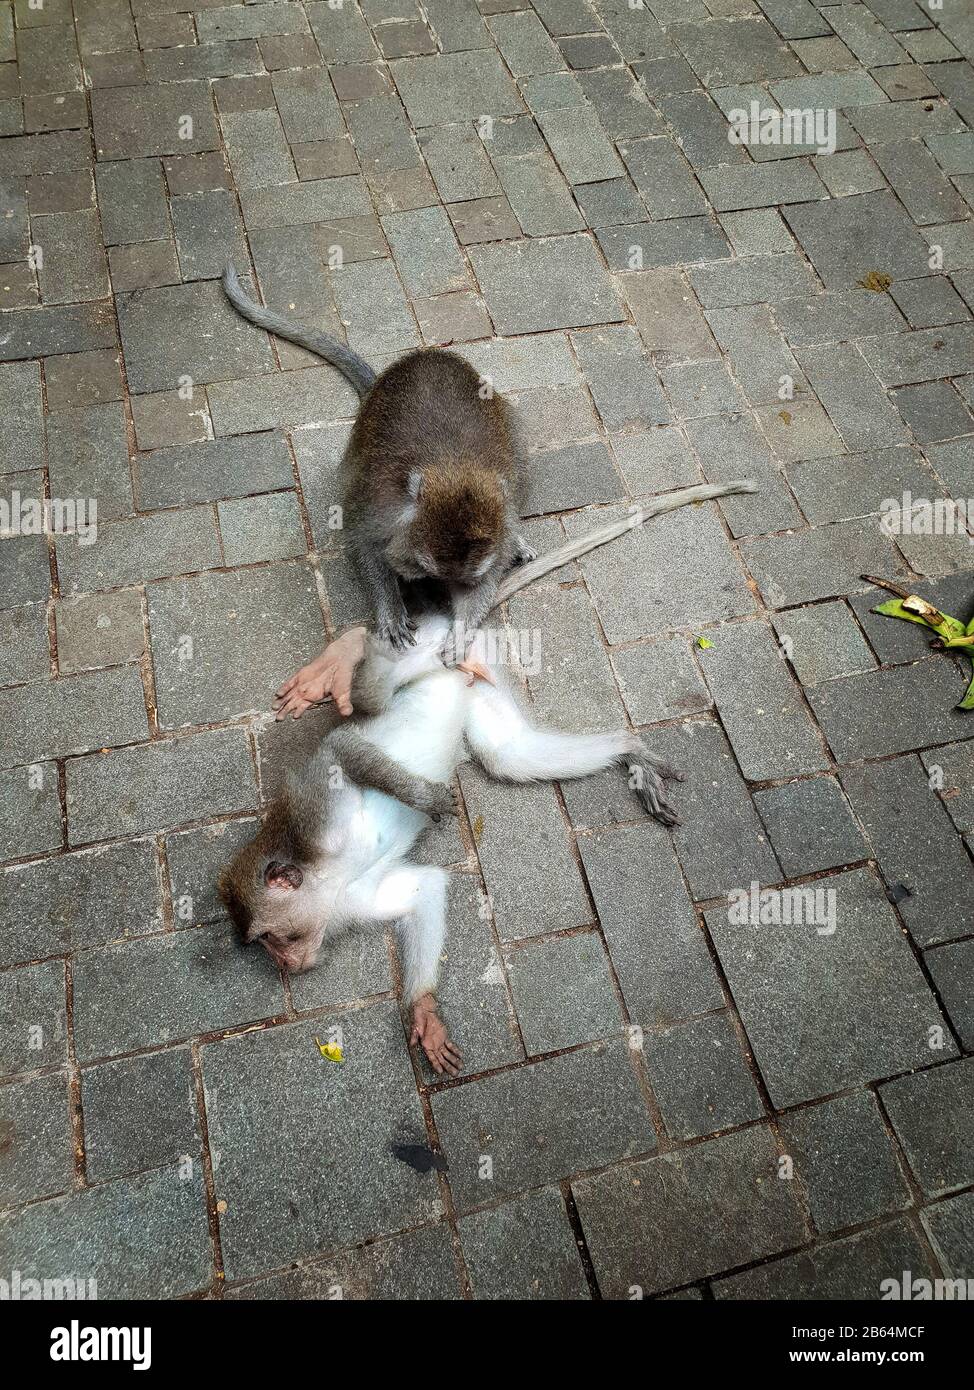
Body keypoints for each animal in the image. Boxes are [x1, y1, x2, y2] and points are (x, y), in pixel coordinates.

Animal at [219, 477, 758, 1074]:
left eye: (271, 937)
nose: (284, 963)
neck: (328, 880)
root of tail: (453, 632)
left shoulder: (316, 819)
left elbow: (340, 748)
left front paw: (427, 799)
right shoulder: (350, 901)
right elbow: (427, 889)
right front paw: (425, 1012)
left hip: (428, 644)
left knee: (376, 690)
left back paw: (351, 655)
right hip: (479, 670)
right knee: (509, 753)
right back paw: (628, 750)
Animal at [223, 263, 535, 665]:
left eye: (460, 580)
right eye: (424, 570)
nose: (437, 595)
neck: (451, 470)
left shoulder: (495, 523)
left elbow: (487, 573)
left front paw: (461, 631)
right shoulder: (379, 506)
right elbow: (365, 544)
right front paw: (390, 610)